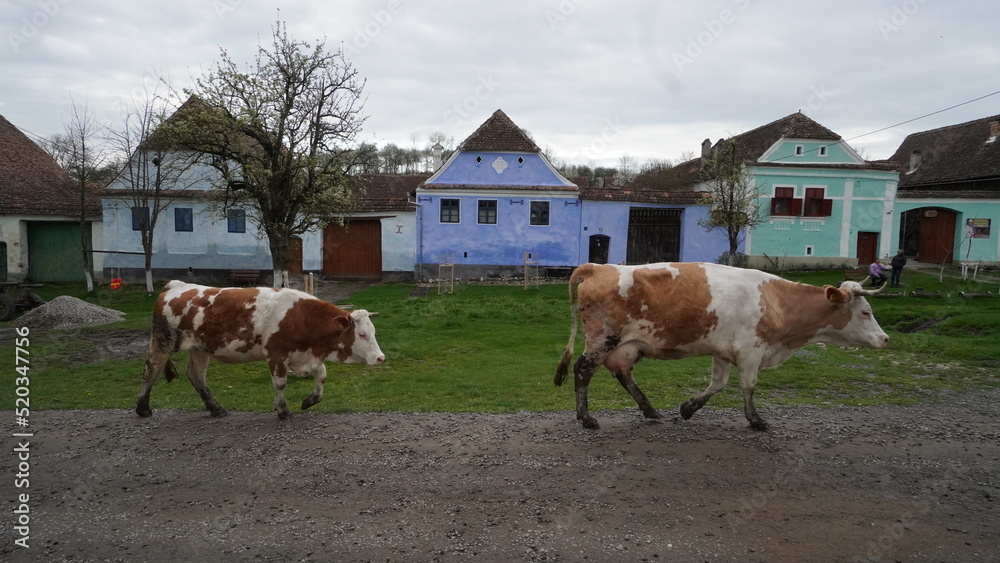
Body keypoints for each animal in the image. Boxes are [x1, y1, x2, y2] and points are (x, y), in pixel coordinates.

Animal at [135, 280, 385, 420]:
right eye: (362, 334)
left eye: (373, 331)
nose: (380, 357)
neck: (301, 316)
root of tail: (176, 287)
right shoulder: (276, 354)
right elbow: (281, 383)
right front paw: (282, 411)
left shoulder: (307, 354)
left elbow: (321, 376)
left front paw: (309, 401)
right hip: (163, 341)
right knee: (151, 371)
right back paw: (142, 408)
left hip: (199, 348)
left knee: (196, 375)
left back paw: (216, 408)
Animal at [554, 262, 888, 430]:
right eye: (865, 312)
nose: (885, 339)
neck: (777, 301)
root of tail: (599, 266)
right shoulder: (751, 349)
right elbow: (748, 385)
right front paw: (756, 420)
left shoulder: (725, 350)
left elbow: (718, 383)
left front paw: (689, 408)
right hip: (603, 339)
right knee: (582, 371)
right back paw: (586, 418)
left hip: (625, 346)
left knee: (623, 375)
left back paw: (650, 410)